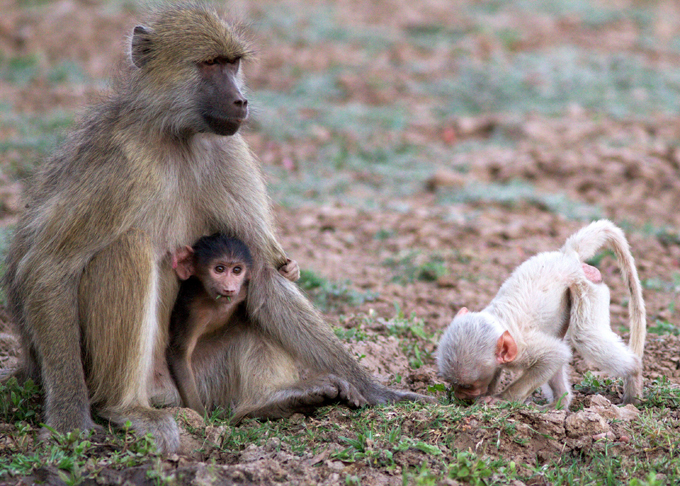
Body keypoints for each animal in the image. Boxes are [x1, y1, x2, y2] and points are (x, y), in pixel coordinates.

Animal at [3, 3, 426, 453]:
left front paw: (378, 390)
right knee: (129, 246)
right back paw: (127, 409)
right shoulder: (118, 164)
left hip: (200, 382)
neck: (177, 136)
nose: (241, 100)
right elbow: (48, 267)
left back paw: (274, 401)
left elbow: (264, 273)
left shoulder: (227, 152)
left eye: (232, 63)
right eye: (209, 64)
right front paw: (70, 423)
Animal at [436, 220, 646, 409]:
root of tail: (567, 256)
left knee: (584, 334)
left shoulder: (522, 348)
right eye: (453, 383)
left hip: (586, 285)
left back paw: (633, 375)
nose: (460, 397)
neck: (500, 322)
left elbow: (555, 355)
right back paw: (558, 405)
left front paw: (501, 399)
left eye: (468, 386)